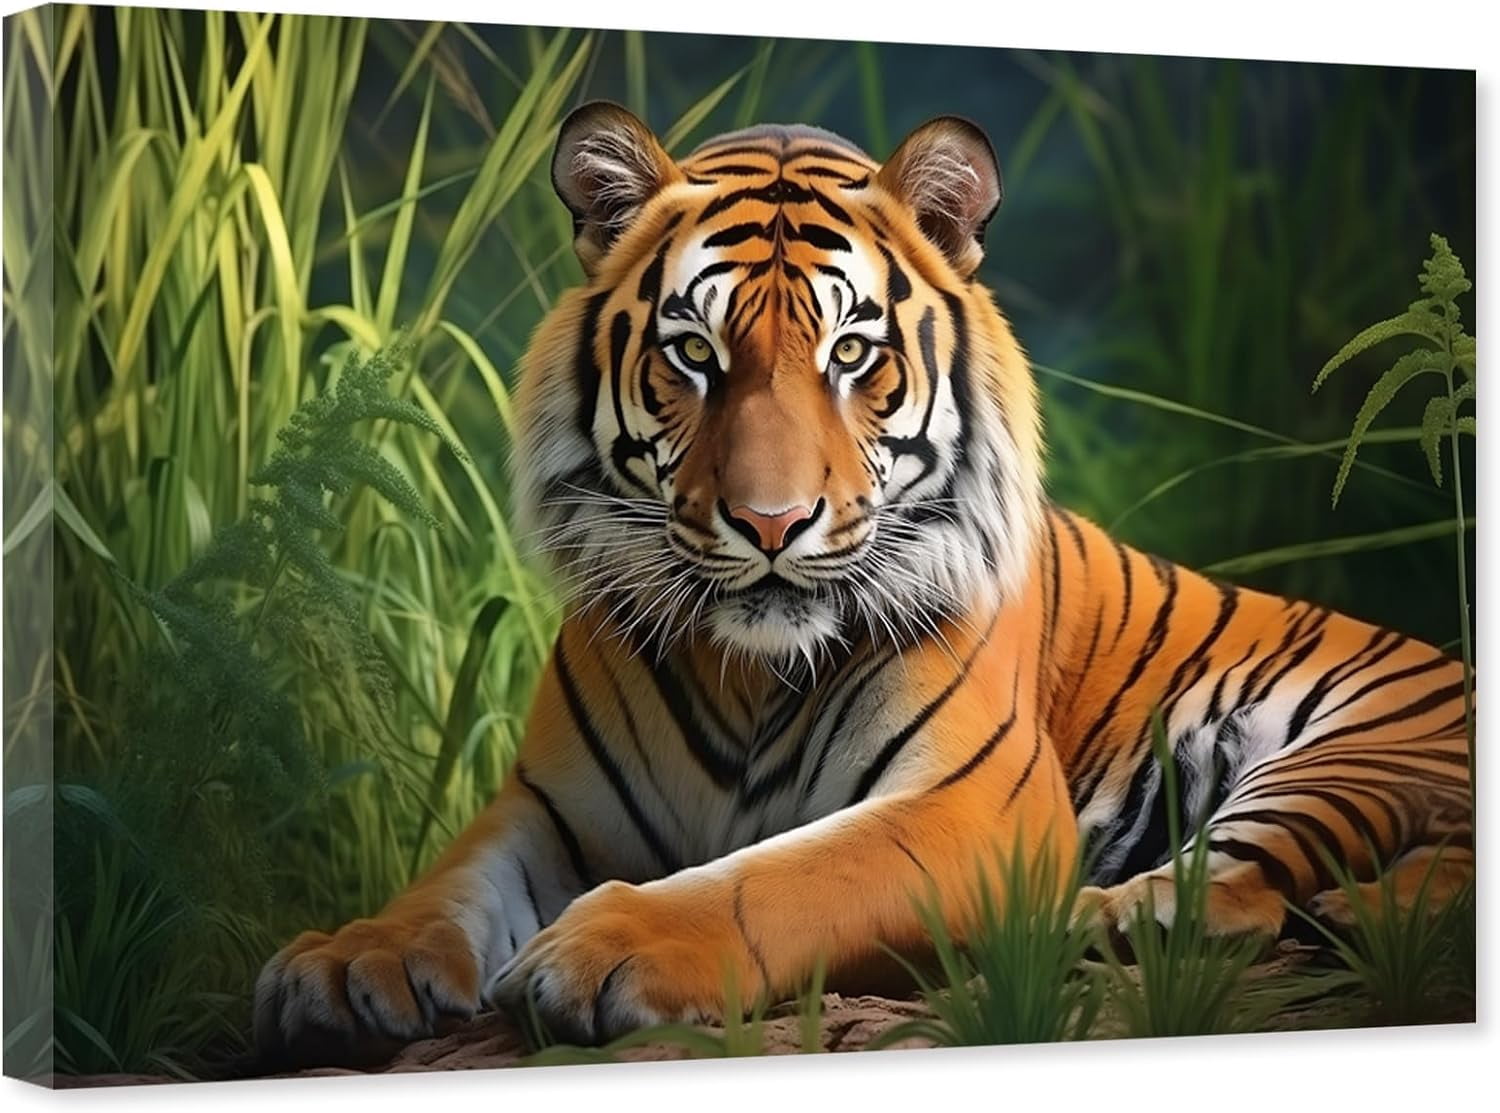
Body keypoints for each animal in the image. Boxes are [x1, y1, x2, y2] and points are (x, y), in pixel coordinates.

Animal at [254, 102, 1473, 1060]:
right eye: (693, 353)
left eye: (851, 354)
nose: (771, 521)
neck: (750, 674)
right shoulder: (545, 806)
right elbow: (447, 885)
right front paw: (346, 962)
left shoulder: (972, 806)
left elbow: (772, 878)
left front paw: (606, 948)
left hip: (1345, 752)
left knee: (1245, 889)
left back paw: (1122, 910)